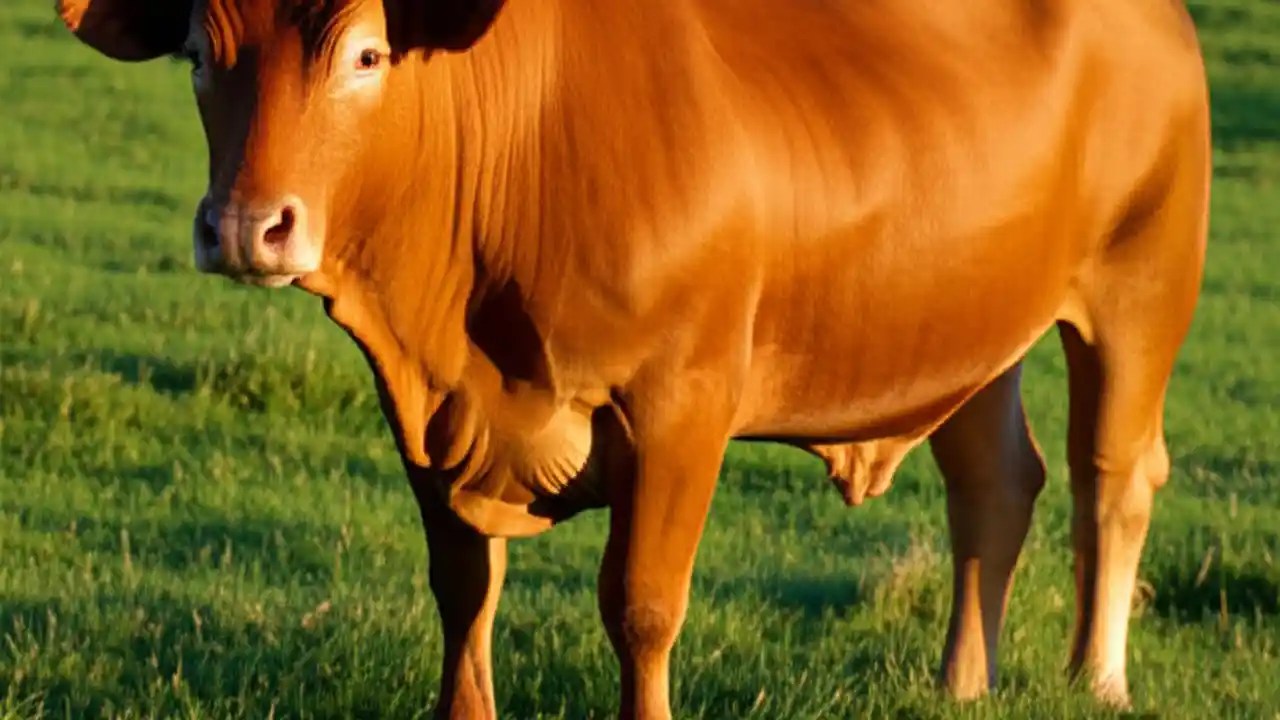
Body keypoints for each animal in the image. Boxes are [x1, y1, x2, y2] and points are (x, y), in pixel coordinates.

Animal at [55, 0, 1211, 716]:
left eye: (366, 56)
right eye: (199, 55)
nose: (249, 228)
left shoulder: (681, 406)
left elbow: (642, 607)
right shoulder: (426, 417)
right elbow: (462, 589)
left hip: (1139, 283)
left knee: (1111, 476)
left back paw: (1096, 681)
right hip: (964, 322)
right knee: (994, 481)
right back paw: (959, 686)